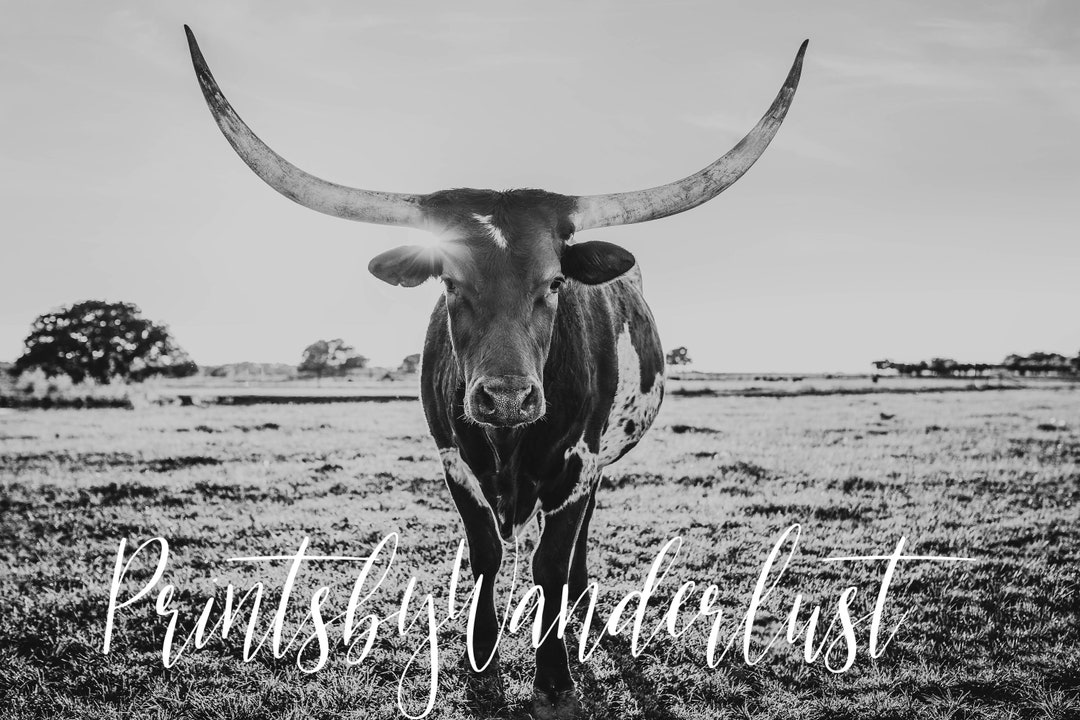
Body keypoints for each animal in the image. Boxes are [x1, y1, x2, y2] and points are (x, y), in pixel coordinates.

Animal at [185, 26, 805, 719]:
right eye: (450, 282)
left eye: (555, 282)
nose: (507, 397)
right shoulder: (454, 459)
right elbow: (484, 553)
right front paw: (480, 657)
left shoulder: (578, 461)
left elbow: (550, 563)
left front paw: (553, 675)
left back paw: (582, 602)